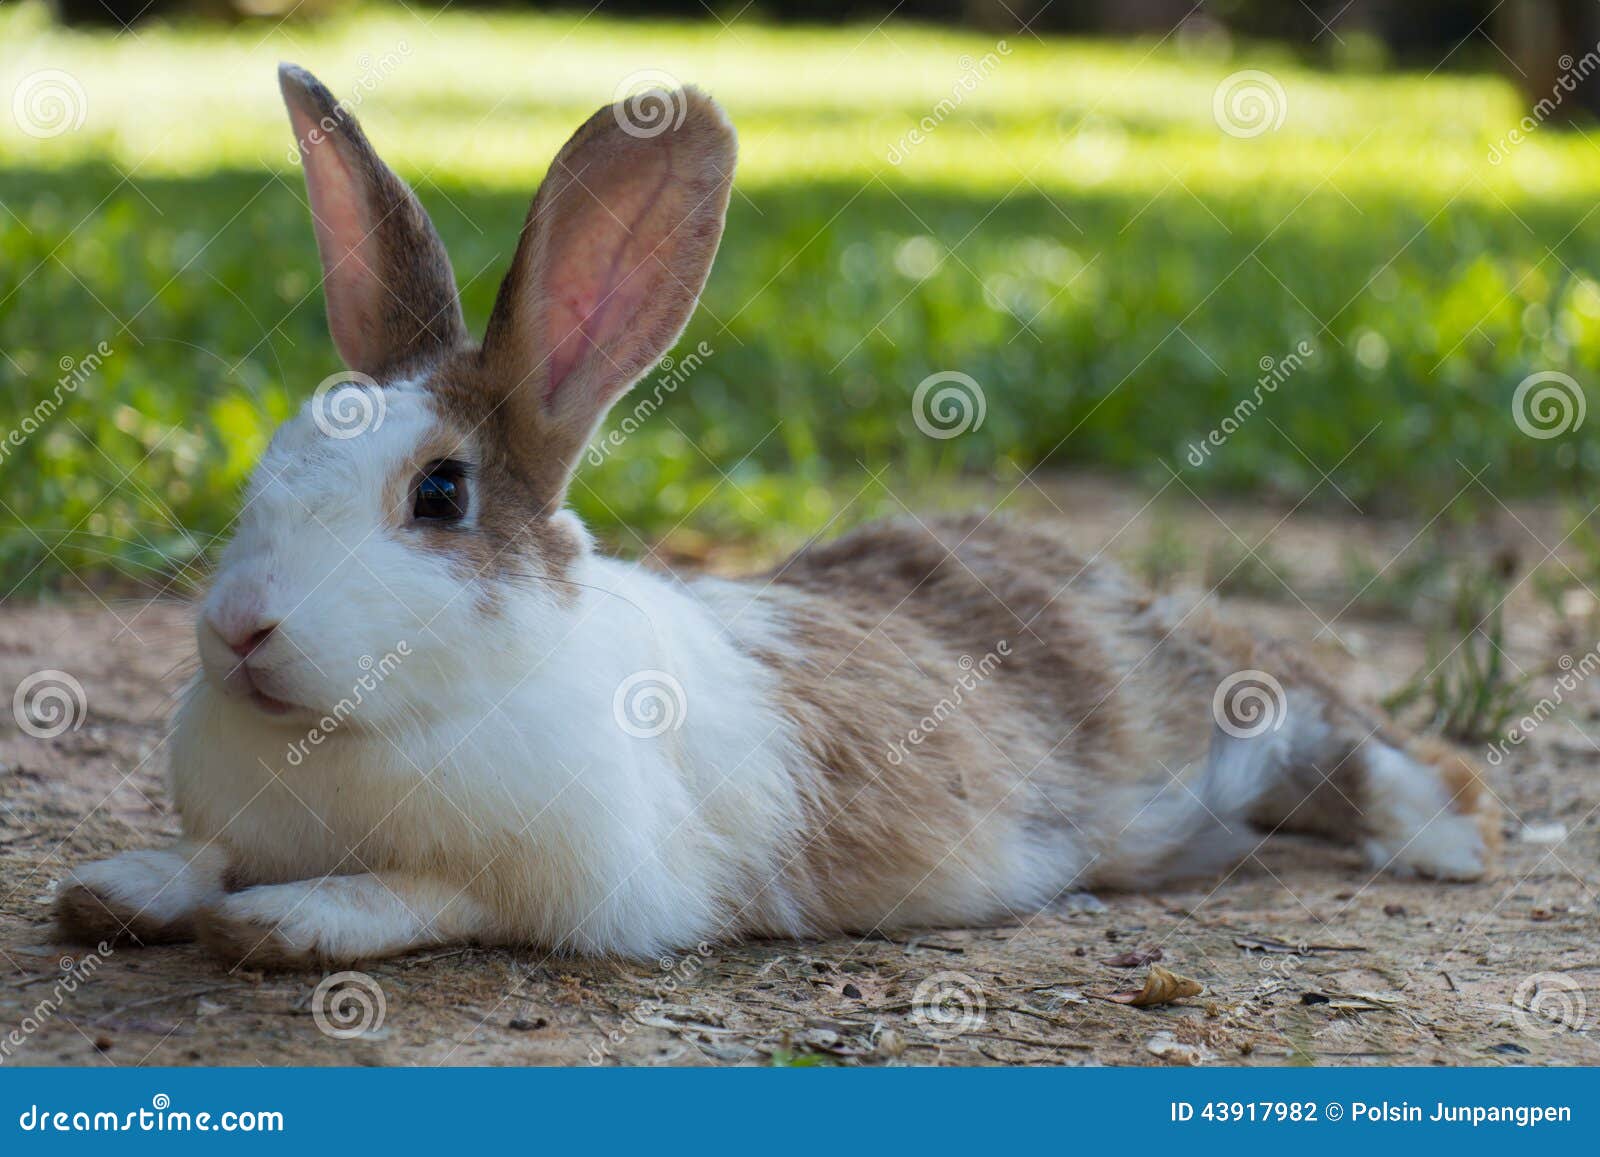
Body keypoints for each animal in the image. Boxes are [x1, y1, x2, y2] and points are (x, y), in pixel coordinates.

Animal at [54, 64, 1499, 969]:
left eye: (440, 493)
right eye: (276, 459)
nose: (239, 631)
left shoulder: (576, 882)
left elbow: (416, 893)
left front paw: (288, 923)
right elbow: (200, 860)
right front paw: (116, 890)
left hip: (1228, 722)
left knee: (1341, 732)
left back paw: (1446, 843)